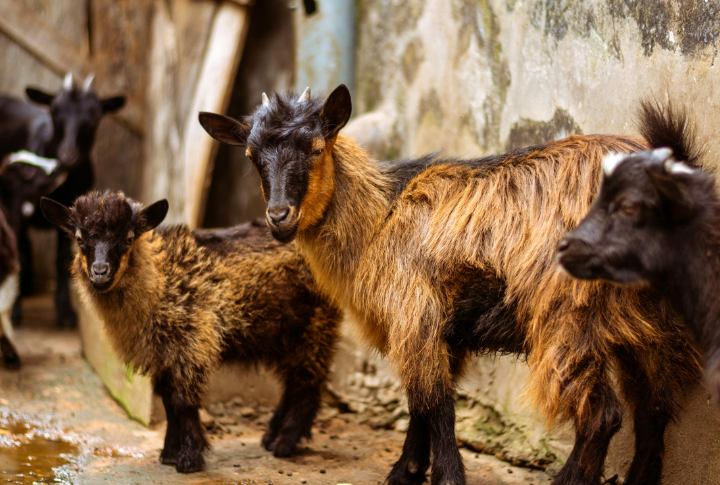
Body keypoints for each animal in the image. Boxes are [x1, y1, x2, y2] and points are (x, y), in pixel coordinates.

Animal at [0, 73, 125, 327]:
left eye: (95, 115)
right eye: (55, 111)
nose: (68, 155)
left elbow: (61, 259)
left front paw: (66, 312)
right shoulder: (16, 204)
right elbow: (19, 253)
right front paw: (15, 312)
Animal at [40, 191, 341, 473]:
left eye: (128, 238)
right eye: (80, 239)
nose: (100, 272)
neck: (161, 279)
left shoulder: (191, 343)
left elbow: (182, 402)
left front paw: (189, 459)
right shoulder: (162, 355)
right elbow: (169, 404)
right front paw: (169, 454)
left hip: (316, 325)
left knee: (307, 383)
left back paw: (284, 443)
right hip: (287, 334)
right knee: (293, 382)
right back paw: (271, 436)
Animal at [199, 88, 700, 485]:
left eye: (316, 147)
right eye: (252, 157)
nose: (279, 217)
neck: (380, 217)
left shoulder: (414, 313)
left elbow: (435, 405)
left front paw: (440, 476)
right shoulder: (443, 331)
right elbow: (423, 406)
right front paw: (405, 472)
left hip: (569, 317)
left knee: (602, 414)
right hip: (649, 323)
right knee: (654, 408)